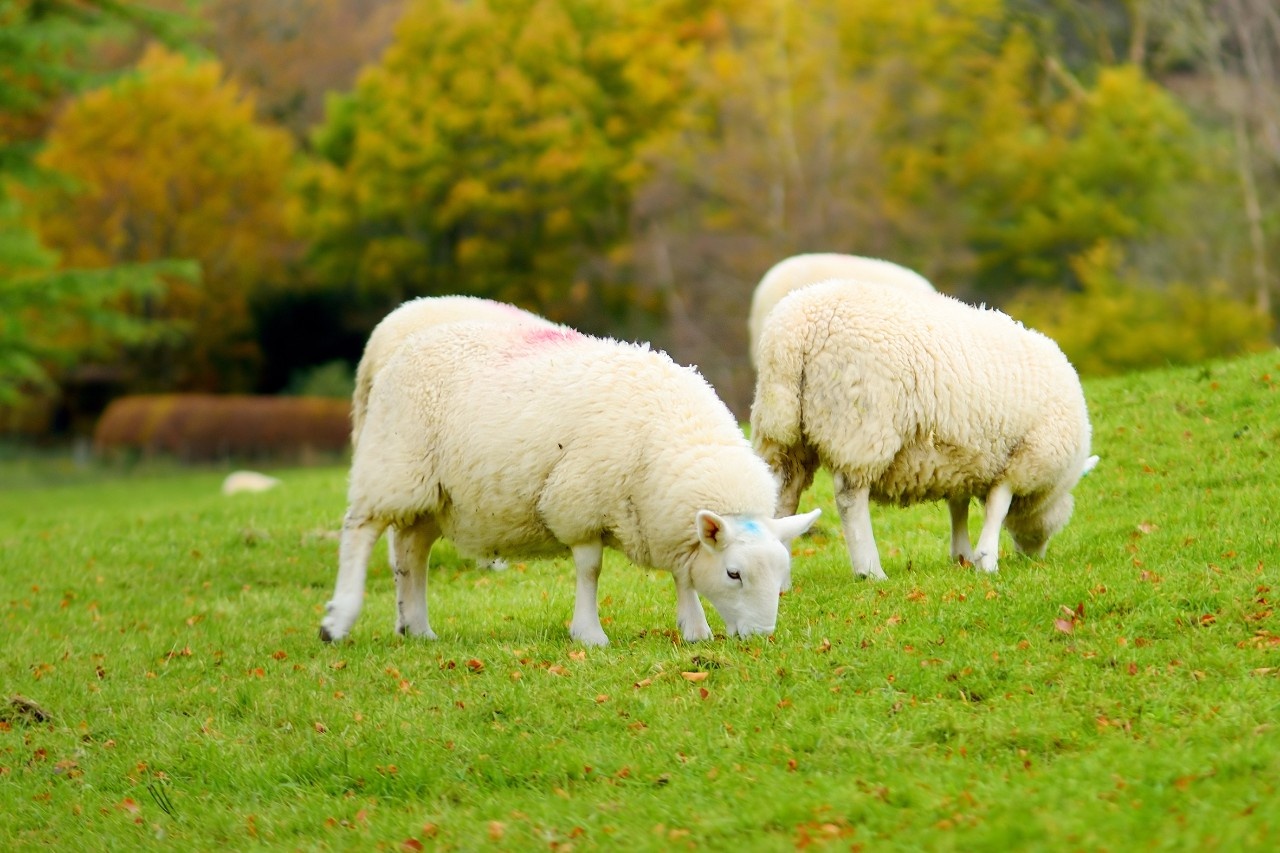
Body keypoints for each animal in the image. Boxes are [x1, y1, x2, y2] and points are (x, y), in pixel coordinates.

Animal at [319, 321, 821, 645]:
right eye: (735, 574)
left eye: (782, 573)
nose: (761, 636)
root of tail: (406, 347)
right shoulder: (581, 501)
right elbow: (590, 570)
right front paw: (589, 634)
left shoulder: (662, 516)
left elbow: (684, 576)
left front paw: (695, 630)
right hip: (393, 466)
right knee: (360, 532)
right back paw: (338, 622)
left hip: (434, 496)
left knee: (411, 554)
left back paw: (417, 628)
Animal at [750, 278, 1094, 580]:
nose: (1034, 558)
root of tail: (794, 329)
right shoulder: (1023, 458)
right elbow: (997, 508)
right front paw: (987, 560)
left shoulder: (962, 459)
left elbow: (958, 507)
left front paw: (962, 555)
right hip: (859, 425)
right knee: (849, 499)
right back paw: (870, 570)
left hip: (784, 431)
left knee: (784, 495)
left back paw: (781, 575)